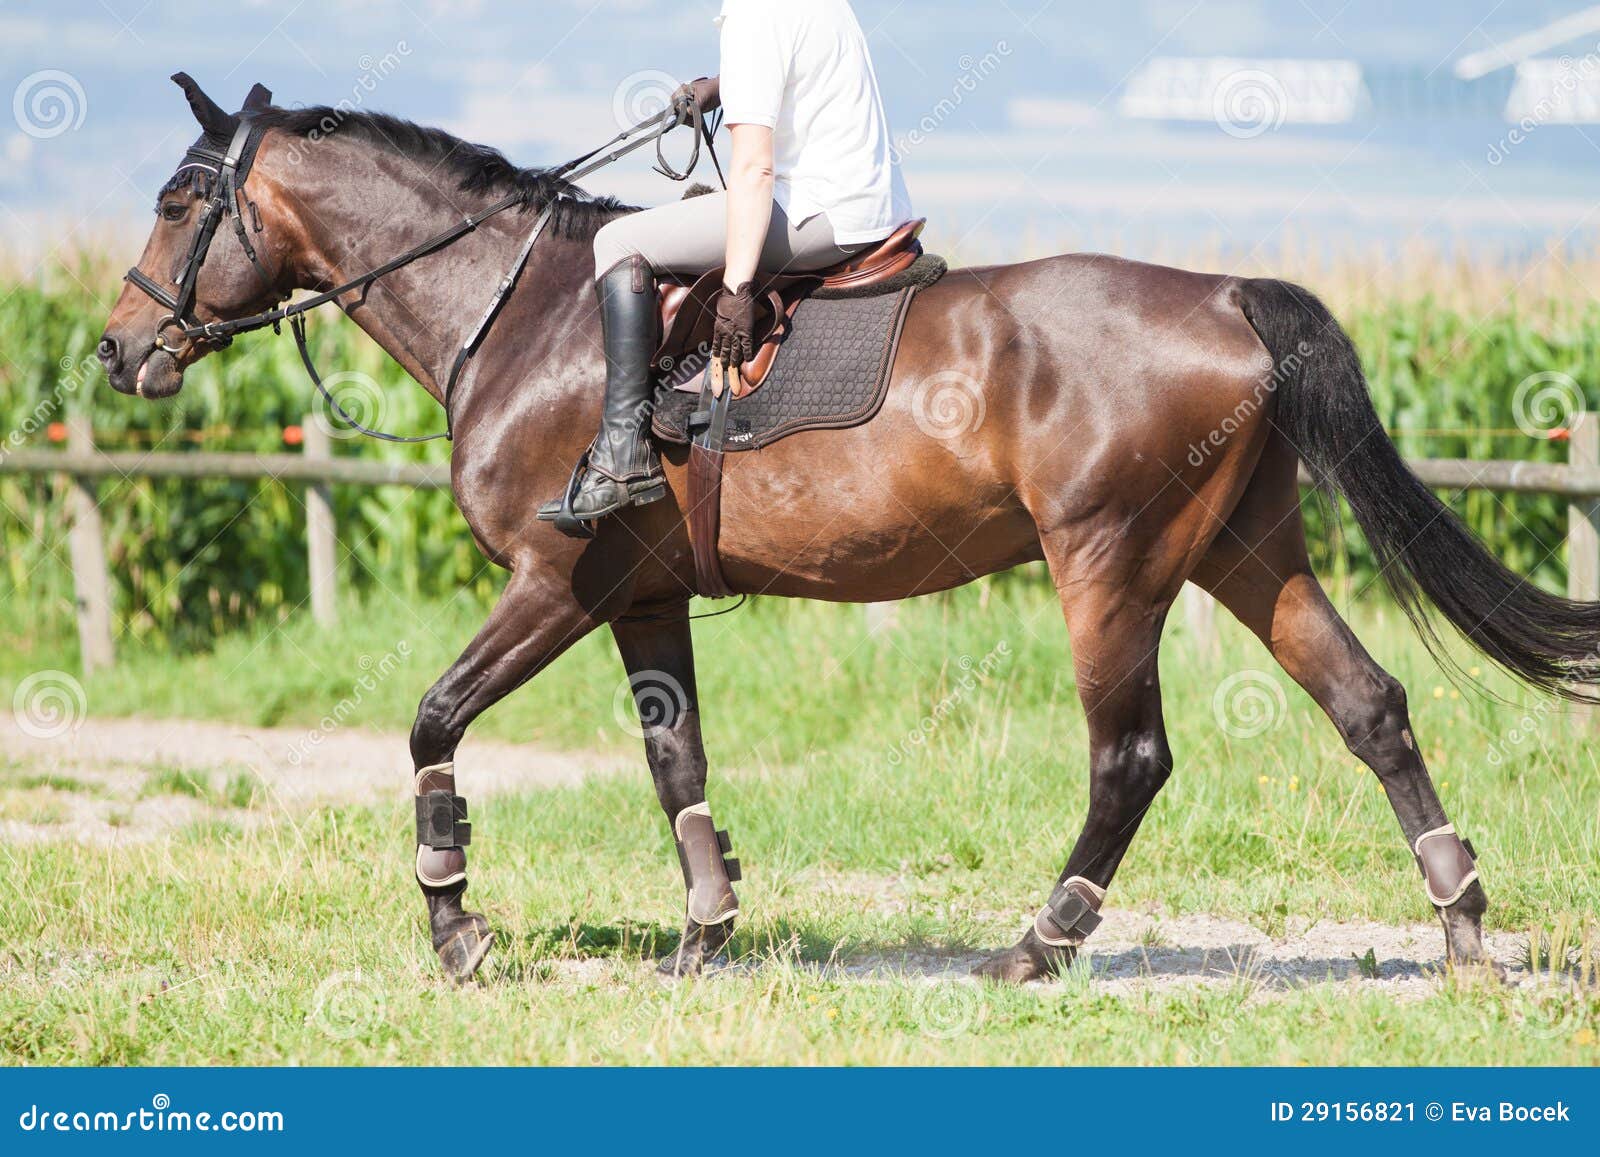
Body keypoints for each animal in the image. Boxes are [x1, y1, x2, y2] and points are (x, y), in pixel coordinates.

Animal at [98, 76, 1600, 985]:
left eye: (179, 202)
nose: (115, 352)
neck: (525, 318)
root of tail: (1228, 293)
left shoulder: (555, 584)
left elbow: (430, 720)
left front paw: (455, 919)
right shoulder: (642, 599)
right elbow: (676, 759)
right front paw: (706, 932)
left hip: (1109, 564)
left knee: (1131, 756)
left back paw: (1039, 944)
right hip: (1247, 555)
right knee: (1371, 706)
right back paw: (1463, 924)